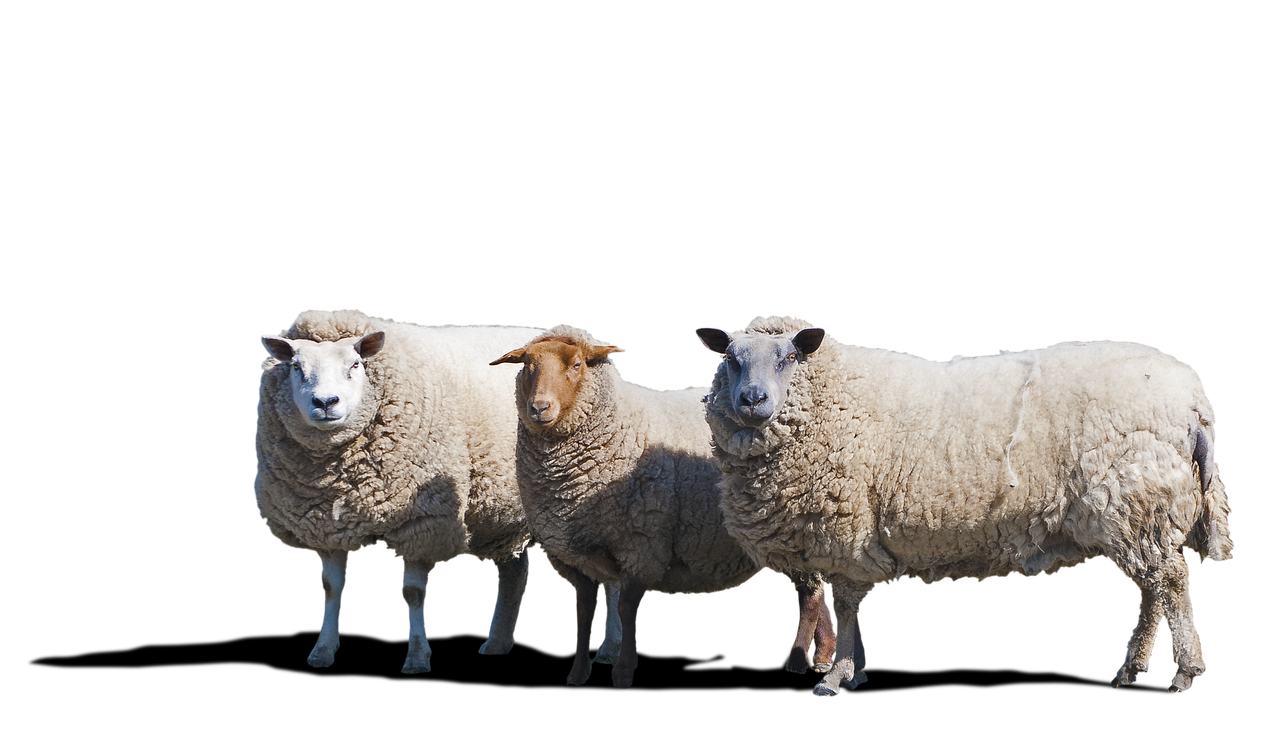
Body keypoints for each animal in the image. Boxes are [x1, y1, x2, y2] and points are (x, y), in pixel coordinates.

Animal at [254, 308, 551, 673]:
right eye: (296, 366)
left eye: (355, 365)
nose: (325, 402)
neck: (341, 475)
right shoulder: (326, 525)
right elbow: (331, 588)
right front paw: (322, 650)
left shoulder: (424, 521)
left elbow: (412, 593)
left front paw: (418, 656)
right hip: (505, 515)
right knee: (515, 571)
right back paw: (497, 642)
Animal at [490, 323, 836, 688]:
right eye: (527, 365)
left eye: (577, 365)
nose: (539, 408)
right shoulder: (574, 558)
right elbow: (583, 613)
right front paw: (578, 673)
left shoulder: (641, 545)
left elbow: (626, 609)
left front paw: (623, 672)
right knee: (817, 595)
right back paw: (823, 658)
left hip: (798, 528)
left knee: (811, 596)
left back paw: (799, 660)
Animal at [696, 315, 1234, 697]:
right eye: (732, 360)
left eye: (789, 357)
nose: (752, 399)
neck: (831, 396)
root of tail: (1195, 400)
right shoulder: (848, 537)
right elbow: (849, 606)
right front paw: (855, 670)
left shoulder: (846, 529)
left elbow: (846, 605)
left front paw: (835, 677)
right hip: (1135, 511)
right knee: (1152, 586)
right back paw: (1134, 667)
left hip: (1134, 497)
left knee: (1169, 581)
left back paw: (1185, 670)